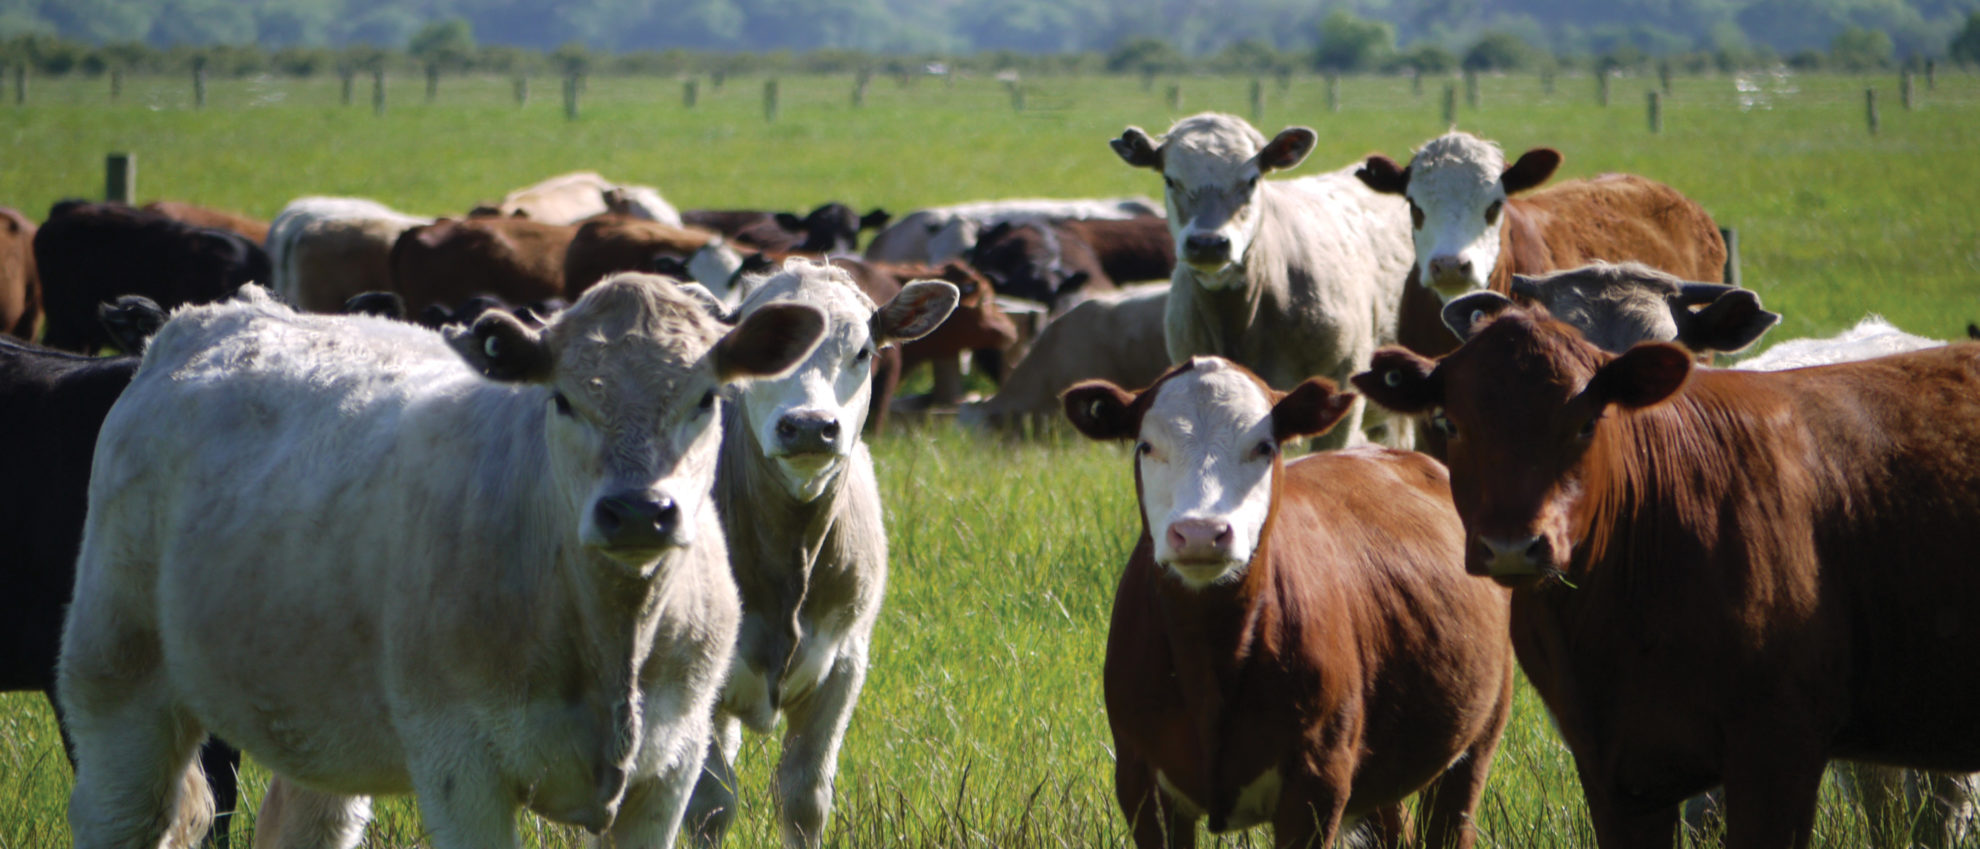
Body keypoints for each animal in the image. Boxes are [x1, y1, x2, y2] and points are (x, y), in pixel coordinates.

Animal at [59, 276, 826, 849]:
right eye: (562, 398)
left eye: (706, 398)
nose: (639, 510)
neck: (614, 634)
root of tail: (213, 314)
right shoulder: (462, 766)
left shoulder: (669, 769)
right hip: (115, 673)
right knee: (118, 815)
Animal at [1061, 356, 1514, 849]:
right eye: (1146, 446)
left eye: (1264, 446)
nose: (1201, 532)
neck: (1209, 658)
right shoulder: (1139, 778)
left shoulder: (1318, 779)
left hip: (1478, 734)